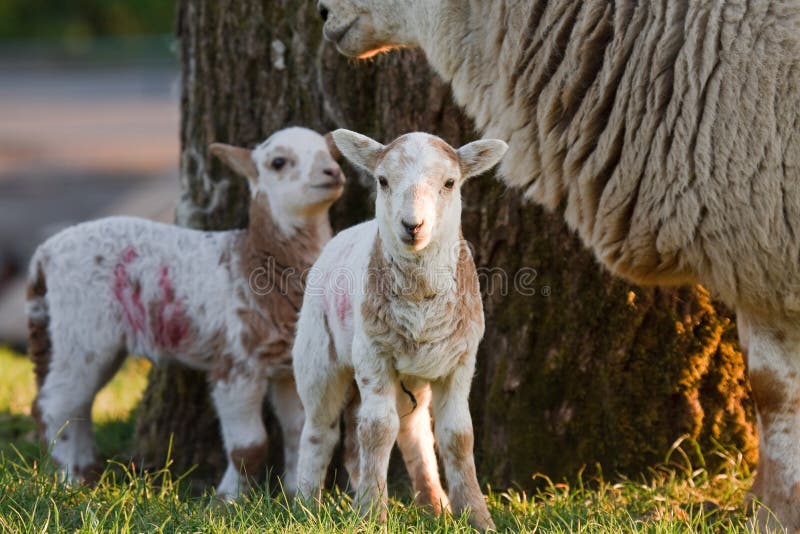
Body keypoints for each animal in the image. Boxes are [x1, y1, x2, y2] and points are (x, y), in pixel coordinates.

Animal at [26, 126, 344, 499]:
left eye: (331, 154)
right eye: (278, 162)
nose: (332, 173)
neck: (254, 258)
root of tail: (45, 253)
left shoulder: (285, 368)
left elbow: (296, 430)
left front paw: (293, 495)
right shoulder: (235, 364)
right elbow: (249, 446)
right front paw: (229, 499)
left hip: (98, 340)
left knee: (77, 404)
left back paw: (87, 473)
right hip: (82, 327)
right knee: (54, 403)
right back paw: (68, 480)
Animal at [292, 129, 507, 529]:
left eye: (450, 183)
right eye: (382, 180)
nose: (413, 226)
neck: (420, 298)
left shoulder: (461, 360)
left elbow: (458, 436)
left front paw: (477, 517)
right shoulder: (372, 354)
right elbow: (376, 430)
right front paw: (370, 515)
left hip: (415, 373)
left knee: (414, 430)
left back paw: (433, 504)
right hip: (318, 354)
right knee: (319, 428)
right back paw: (303, 505)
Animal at [316, 0, 800, 528]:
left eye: (449, 184)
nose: (322, 12)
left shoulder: (762, 249)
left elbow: (774, 391)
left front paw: (773, 513)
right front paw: (762, 503)